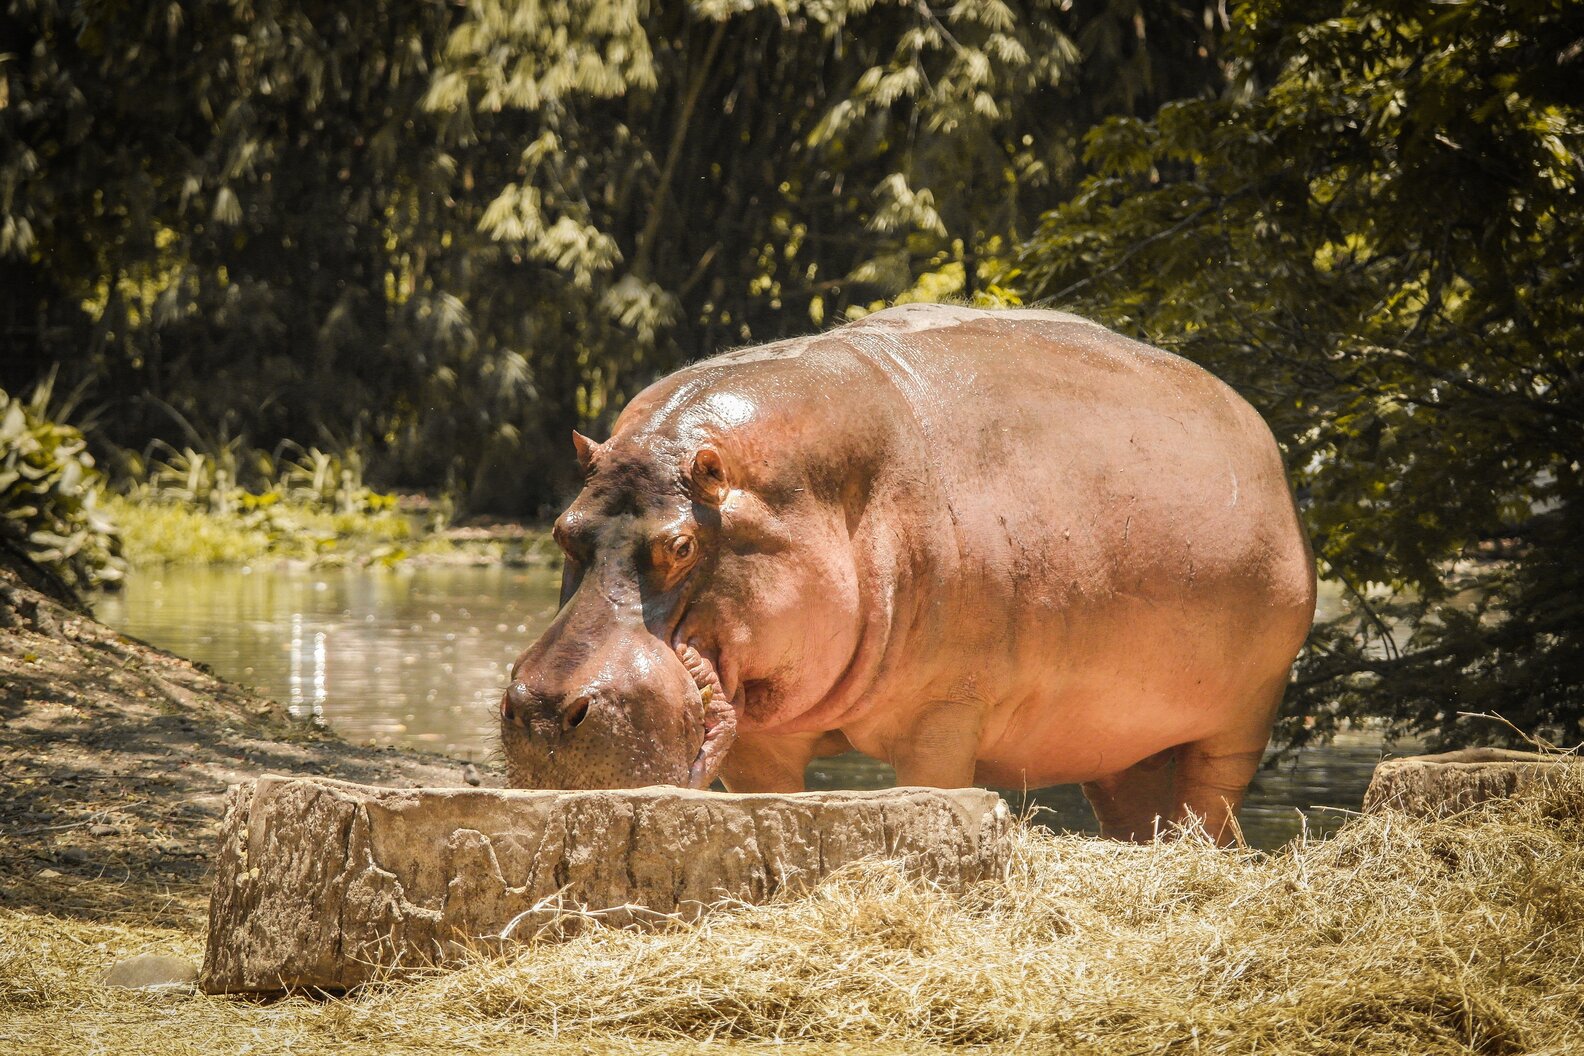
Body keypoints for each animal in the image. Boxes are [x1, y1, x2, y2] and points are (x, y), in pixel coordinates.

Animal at [500, 304, 1316, 842]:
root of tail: (1255, 423)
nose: (541, 710)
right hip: (1122, 738)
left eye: (681, 545)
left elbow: (933, 785)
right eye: (563, 531)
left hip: (1242, 718)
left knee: (1212, 800)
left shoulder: (946, 712)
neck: (837, 492)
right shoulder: (759, 733)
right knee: (1134, 800)